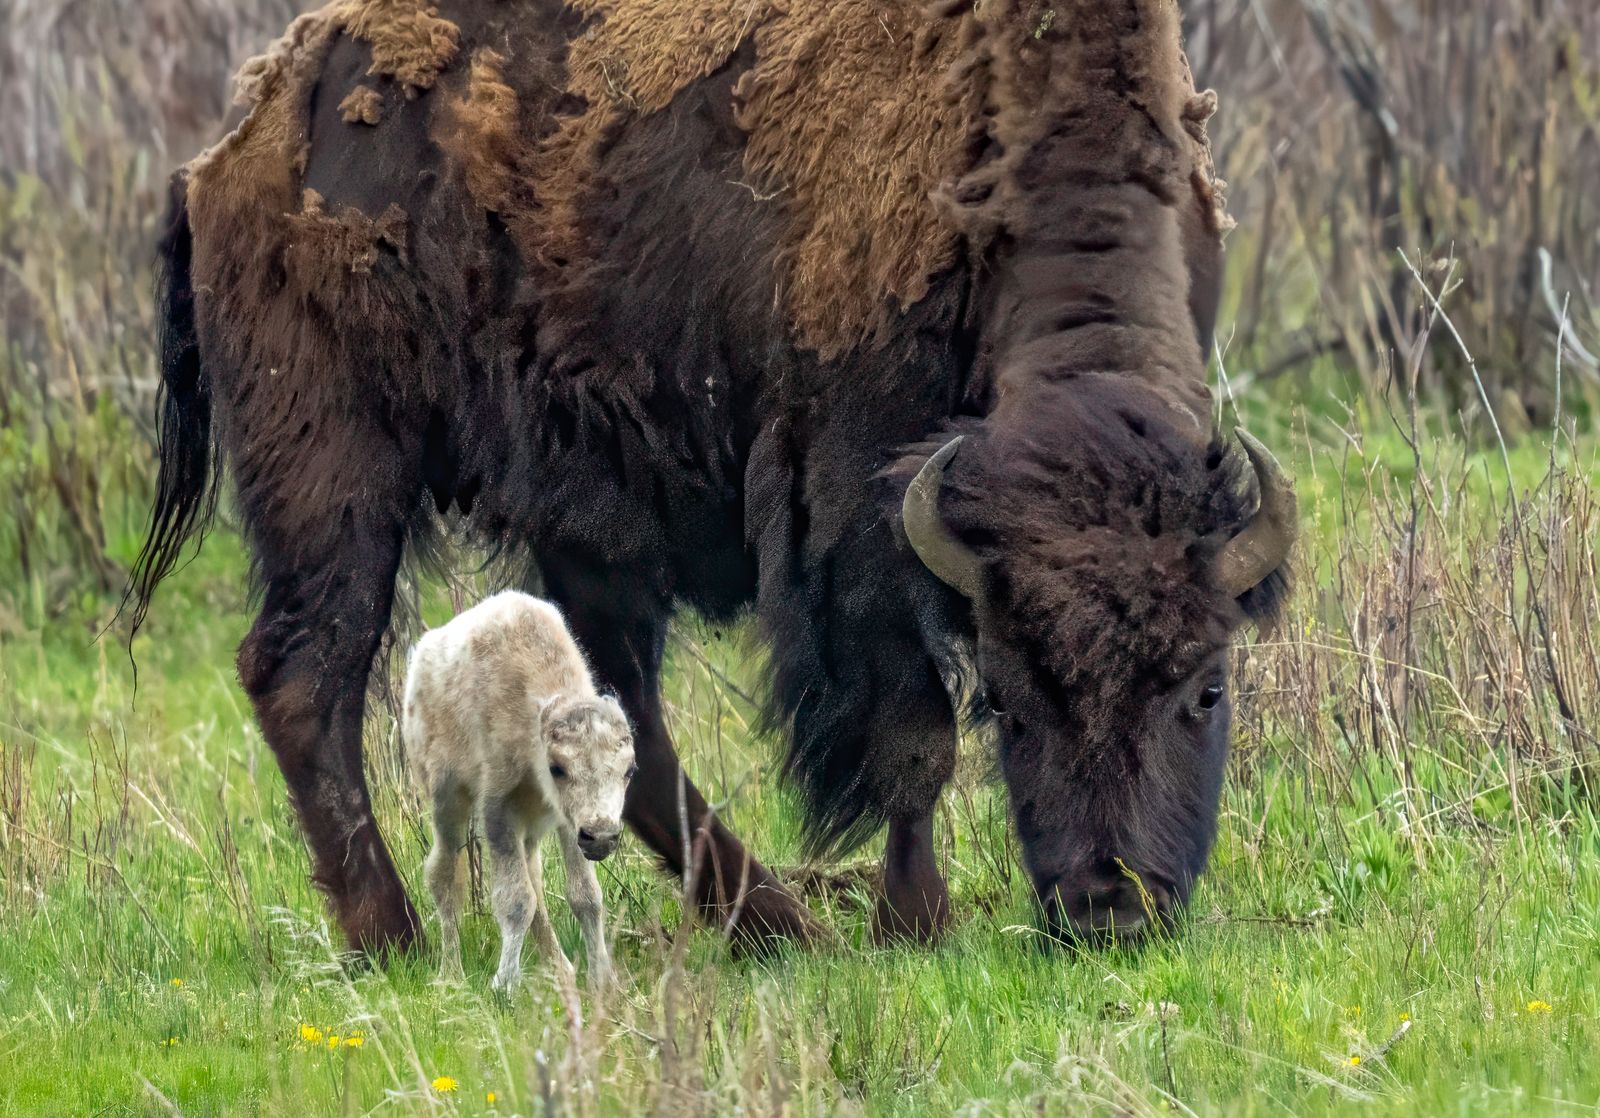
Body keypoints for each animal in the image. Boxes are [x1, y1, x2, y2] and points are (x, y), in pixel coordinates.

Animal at [127, 0, 1295, 956]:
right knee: (304, 674)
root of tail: (234, 146)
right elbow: (914, 735)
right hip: (338, 474)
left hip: (578, 519)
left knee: (613, 714)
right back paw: (395, 936)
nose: (1109, 907)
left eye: (1209, 684)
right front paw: (915, 922)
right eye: (1005, 698)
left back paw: (769, 922)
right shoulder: (857, 509)